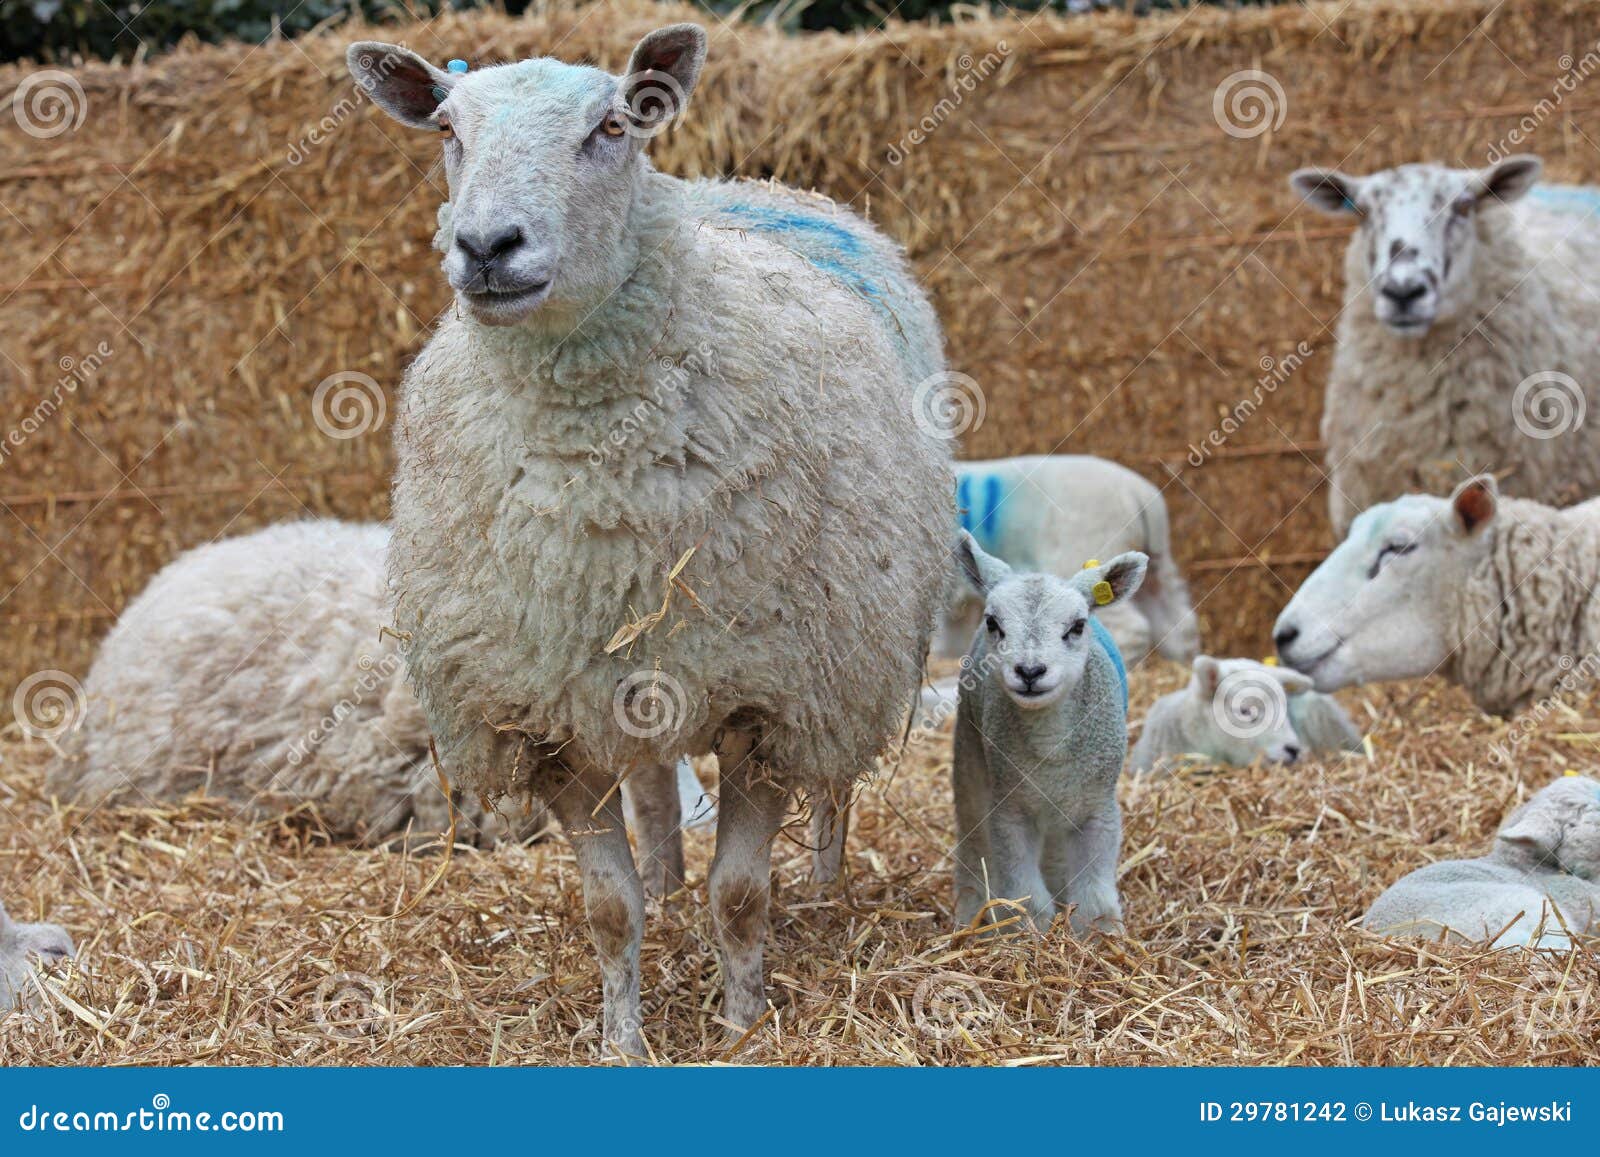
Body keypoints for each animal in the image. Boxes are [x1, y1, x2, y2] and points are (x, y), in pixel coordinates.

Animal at [348, 23, 953, 1059]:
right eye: (448, 130)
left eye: (610, 127)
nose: (486, 246)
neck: (600, 490)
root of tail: (743, 185)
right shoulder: (549, 714)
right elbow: (608, 908)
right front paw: (622, 1035)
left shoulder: (772, 700)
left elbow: (742, 893)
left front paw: (743, 1022)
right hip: (639, 675)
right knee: (660, 793)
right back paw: (670, 884)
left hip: (854, 652)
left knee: (836, 786)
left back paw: (825, 887)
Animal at [950, 531, 1146, 935]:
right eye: (993, 623)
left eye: (1077, 626)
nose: (1030, 671)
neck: (1049, 744)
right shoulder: (1010, 808)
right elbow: (1020, 882)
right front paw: (1029, 930)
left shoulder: (1098, 806)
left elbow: (1094, 884)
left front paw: (1100, 932)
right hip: (969, 746)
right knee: (972, 828)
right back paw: (969, 909)